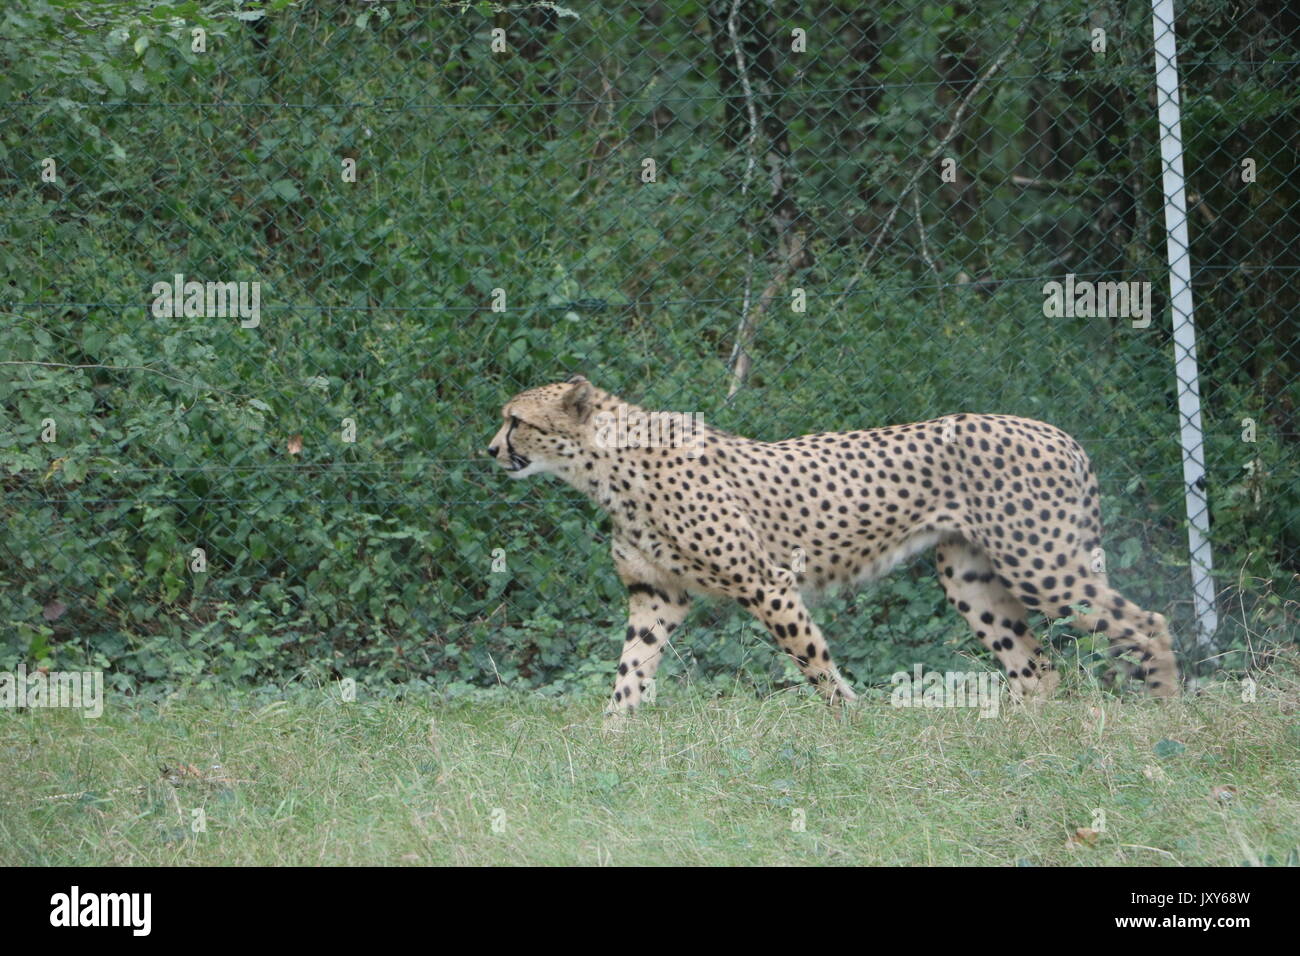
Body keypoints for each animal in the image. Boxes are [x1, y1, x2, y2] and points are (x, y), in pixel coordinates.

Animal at [486, 375, 1180, 713]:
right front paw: (611, 737)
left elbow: (813, 661)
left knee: (1148, 622)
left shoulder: (767, 583)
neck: (606, 468)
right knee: (1037, 667)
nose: (490, 450)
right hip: (971, 578)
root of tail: (1057, 432)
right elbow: (630, 672)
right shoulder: (656, 596)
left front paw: (850, 721)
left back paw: (1165, 714)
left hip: (1042, 565)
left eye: (516, 420)